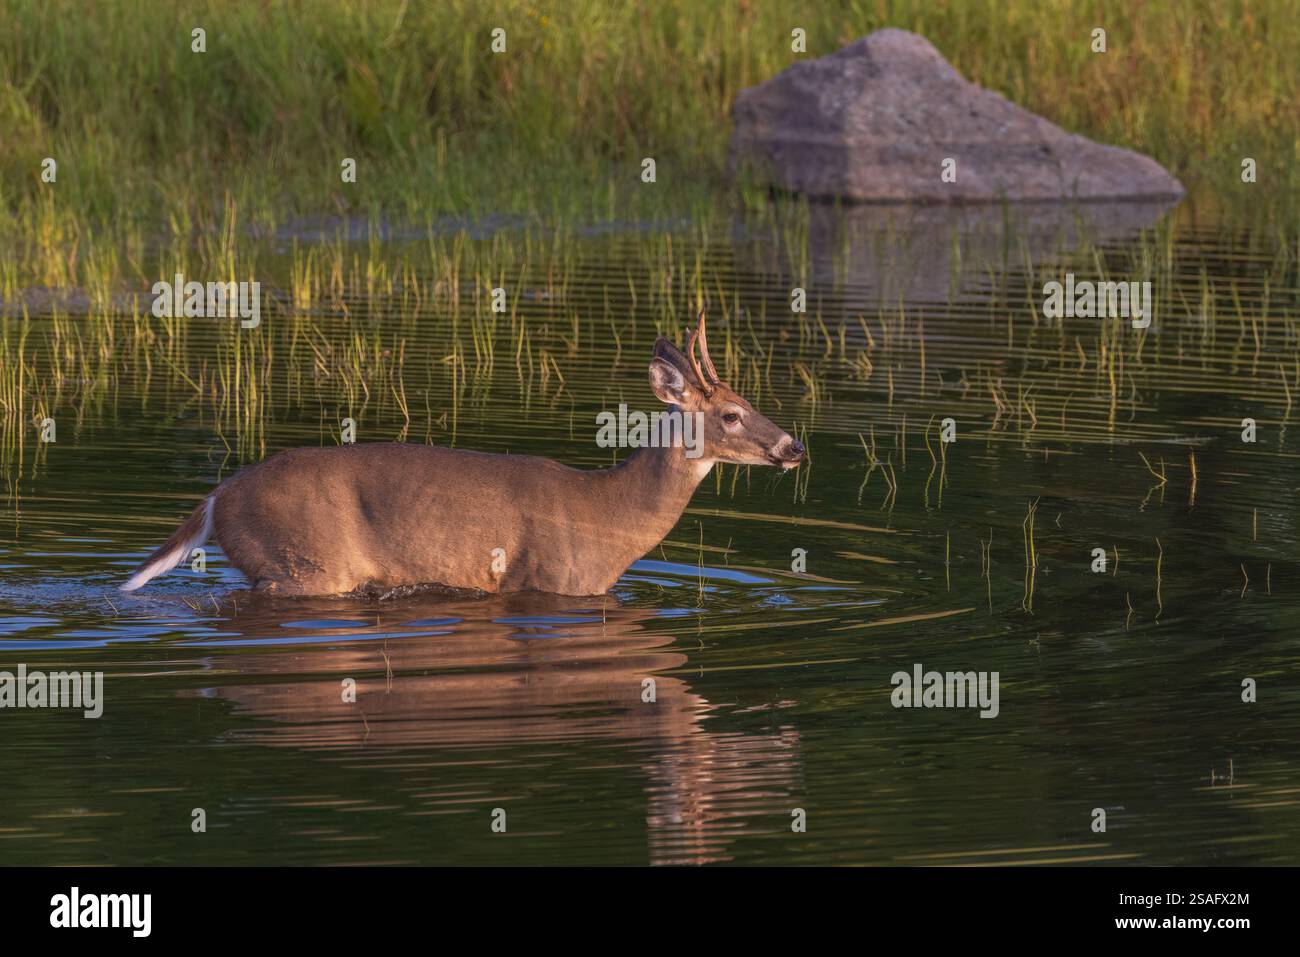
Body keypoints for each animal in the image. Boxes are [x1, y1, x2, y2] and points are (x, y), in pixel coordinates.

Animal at [120, 311, 805, 597]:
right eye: (731, 414)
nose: (794, 446)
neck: (607, 517)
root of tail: (217, 496)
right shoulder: (552, 582)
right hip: (303, 565)